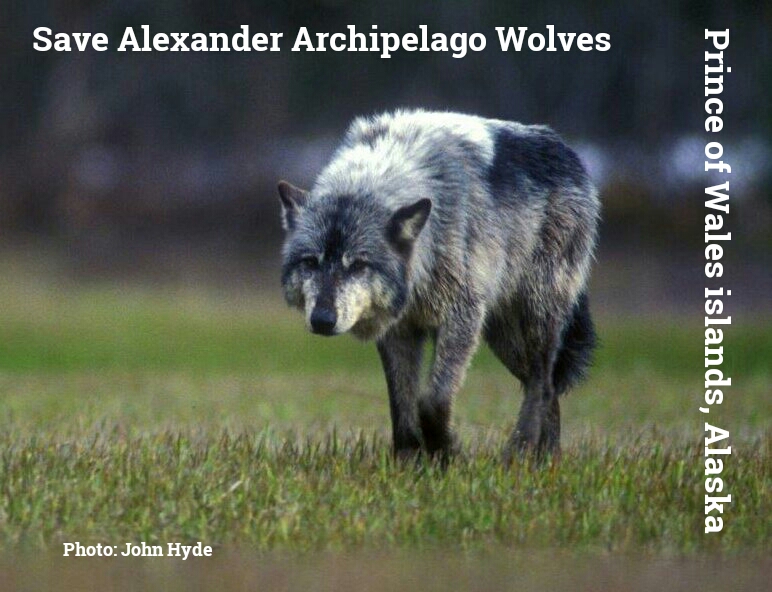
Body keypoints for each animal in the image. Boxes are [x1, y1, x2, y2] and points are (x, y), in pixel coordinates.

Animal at [278, 109, 599, 461]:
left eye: (359, 265)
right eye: (311, 262)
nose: (322, 320)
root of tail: (567, 151)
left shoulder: (461, 319)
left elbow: (433, 401)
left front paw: (447, 453)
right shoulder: (399, 331)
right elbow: (401, 406)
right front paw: (409, 462)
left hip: (532, 320)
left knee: (542, 383)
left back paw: (518, 454)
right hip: (502, 337)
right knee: (547, 387)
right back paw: (545, 461)